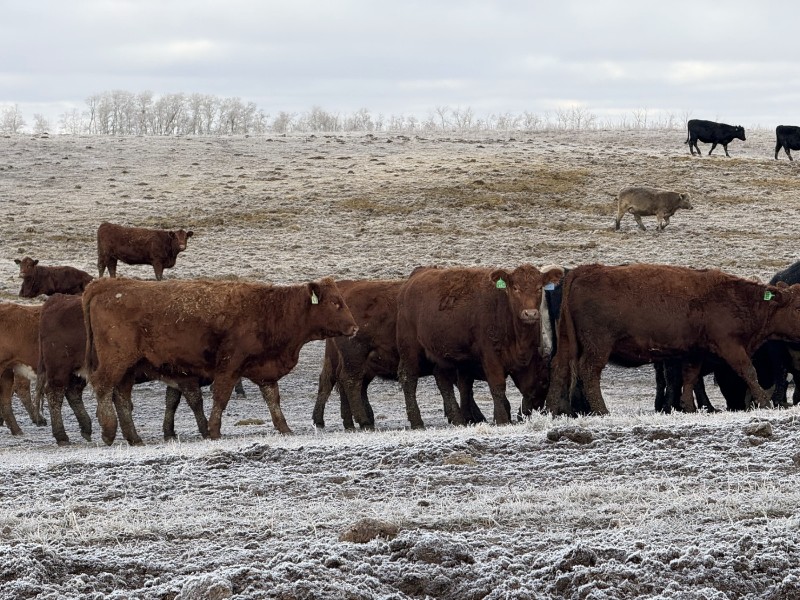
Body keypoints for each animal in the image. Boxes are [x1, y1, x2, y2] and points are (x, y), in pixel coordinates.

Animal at [83, 277, 357, 445]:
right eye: (335, 303)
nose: (354, 328)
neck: (269, 309)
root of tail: (105, 284)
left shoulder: (265, 371)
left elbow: (273, 400)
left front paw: (285, 428)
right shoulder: (229, 367)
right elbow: (221, 398)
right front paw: (213, 431)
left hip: (129, 368)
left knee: (121, 396)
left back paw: (134, 438)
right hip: (116, 361)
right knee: (103, 386)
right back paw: (108, 431)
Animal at [396, 264, 563, 428]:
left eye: (539, 288)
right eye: (515, 288)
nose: (530, 314)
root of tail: (417, 275)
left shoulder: (528, 360)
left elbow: (528, 389)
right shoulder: (490, 355)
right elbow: (497, 386)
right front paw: (502, 419)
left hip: (442, 354)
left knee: (443, 379)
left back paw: (459, 419)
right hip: (410, 347)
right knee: (408, 378)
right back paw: (417, 422)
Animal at [545, 263, 800, 416]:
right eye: (797, 307)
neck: (736, 298)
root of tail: (583, 270)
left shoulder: (694, 352)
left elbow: (689, 377)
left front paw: (688, 407)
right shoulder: (730, 346)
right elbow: (748, 371)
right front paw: (765, 402)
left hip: (567, 342)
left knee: (559, 369)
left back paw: (552, 410)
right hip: (598, 346)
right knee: (588, 372)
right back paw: (601, 411)